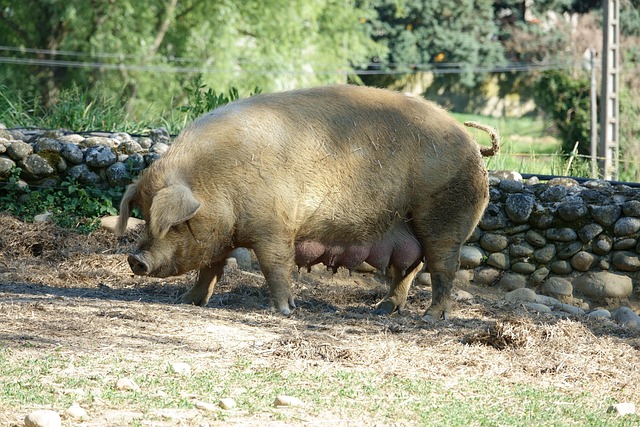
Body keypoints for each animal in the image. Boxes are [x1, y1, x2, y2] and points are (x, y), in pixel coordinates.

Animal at [116, 85, 499, 320]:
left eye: (171, 223)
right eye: (143, 214)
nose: (135, 259)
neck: (213, 180)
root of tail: (473, 145)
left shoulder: (274, 226)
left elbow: (275, 265)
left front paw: (284, 310)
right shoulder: (223, 236)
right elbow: (210, 268)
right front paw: (187, 301)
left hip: (445, 217)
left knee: (443, 268)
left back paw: (430, 317)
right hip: (407, 227)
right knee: (408, 268)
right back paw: (381, 310)